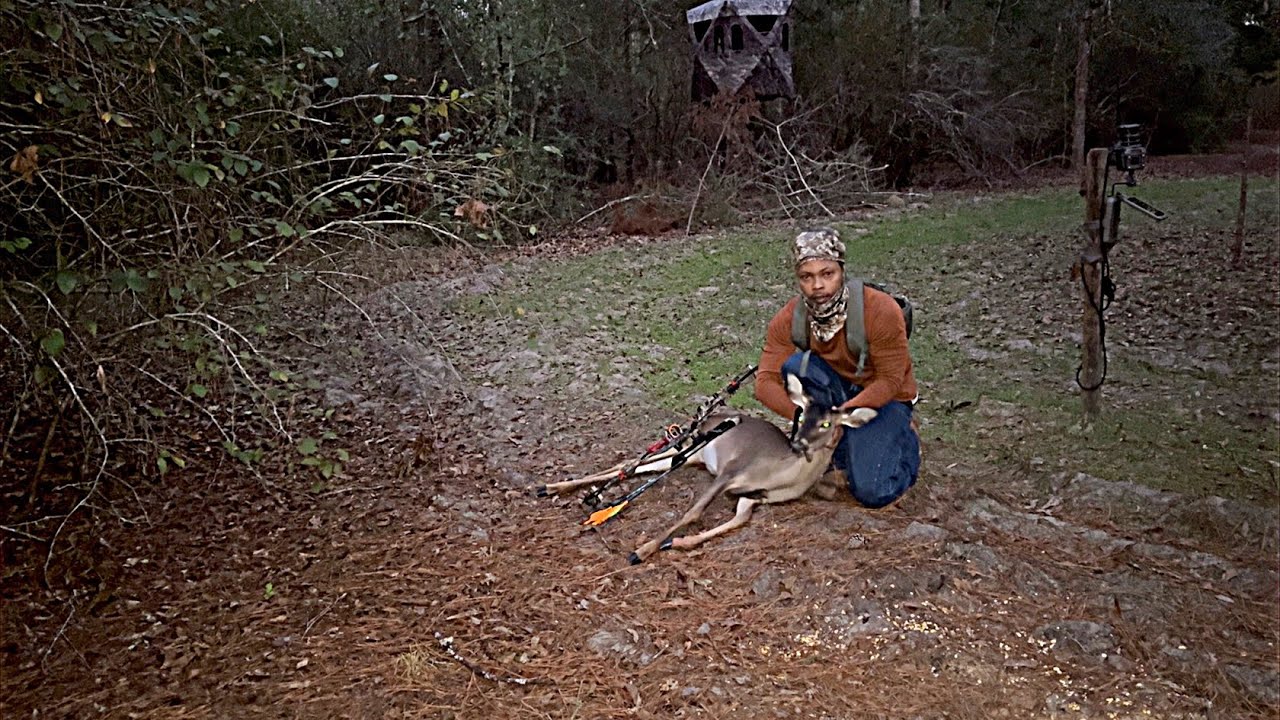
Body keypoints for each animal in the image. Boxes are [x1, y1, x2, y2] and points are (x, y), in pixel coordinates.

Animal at [541, 375, 877, 564]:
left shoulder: (754, 497)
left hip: (692, 456)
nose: (799, 443)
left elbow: (739, 519)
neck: (779, 475)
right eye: (802, 412)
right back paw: (552, 487)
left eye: (827, 423)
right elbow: (694, 511)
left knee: (633, 468)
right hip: (692, 447)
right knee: (629, 465)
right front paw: (643, 550)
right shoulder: (730, 471)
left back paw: (558, 489)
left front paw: (675, 543)